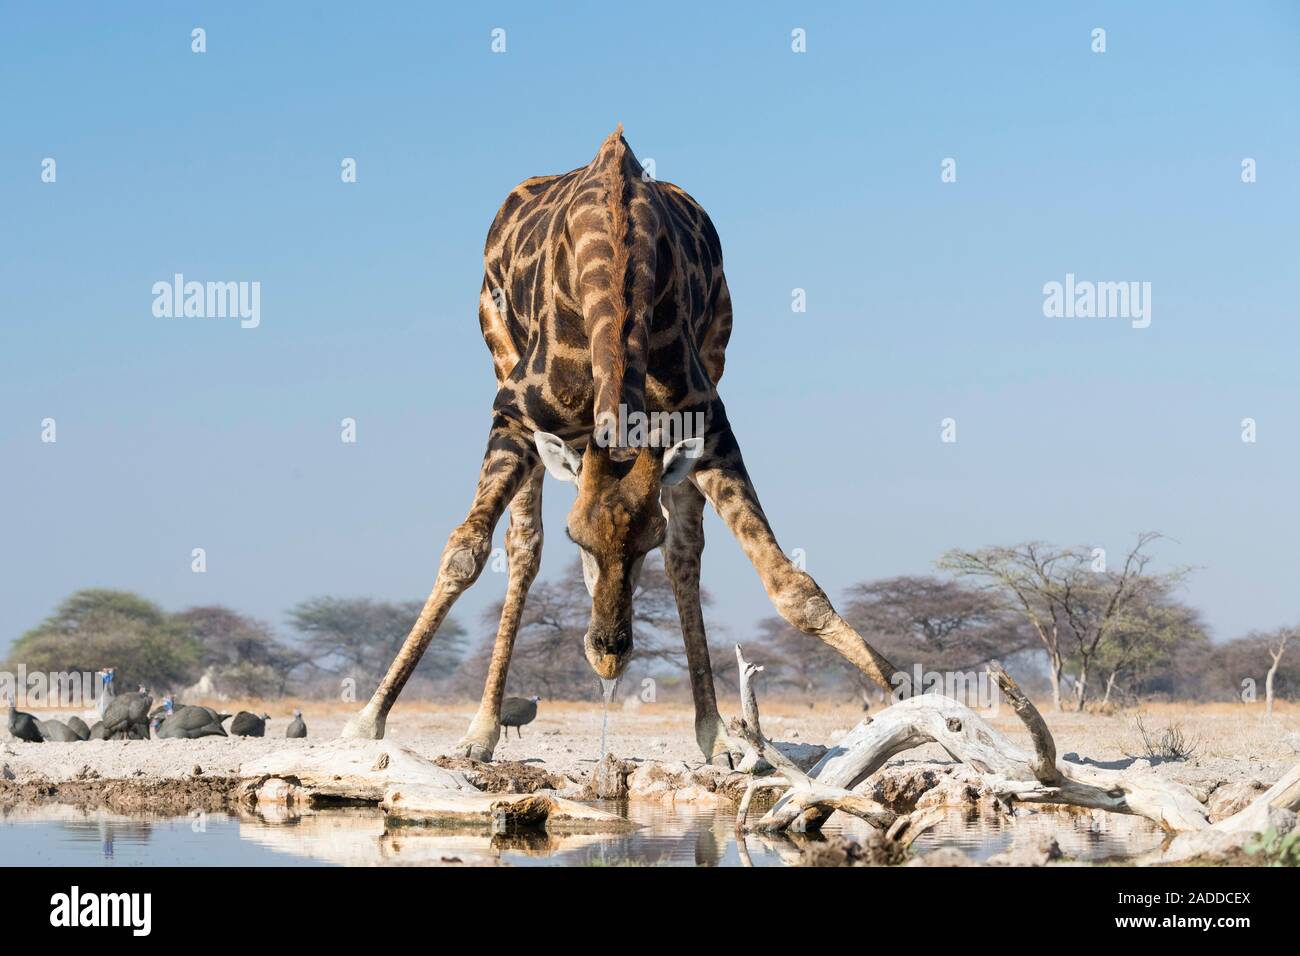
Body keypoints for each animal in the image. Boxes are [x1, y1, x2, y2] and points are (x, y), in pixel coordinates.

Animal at [342, 126, 904, 763]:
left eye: (645, 544)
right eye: (577, 539)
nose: (608, 657)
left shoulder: (708, 422)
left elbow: (788, 582)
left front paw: (918, 700)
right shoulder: (513, 415)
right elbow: (466, 552)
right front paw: (367, 721)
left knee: (689, 554)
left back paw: (714, 734)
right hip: (501, 357)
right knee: (522, 546)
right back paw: (480, 731)